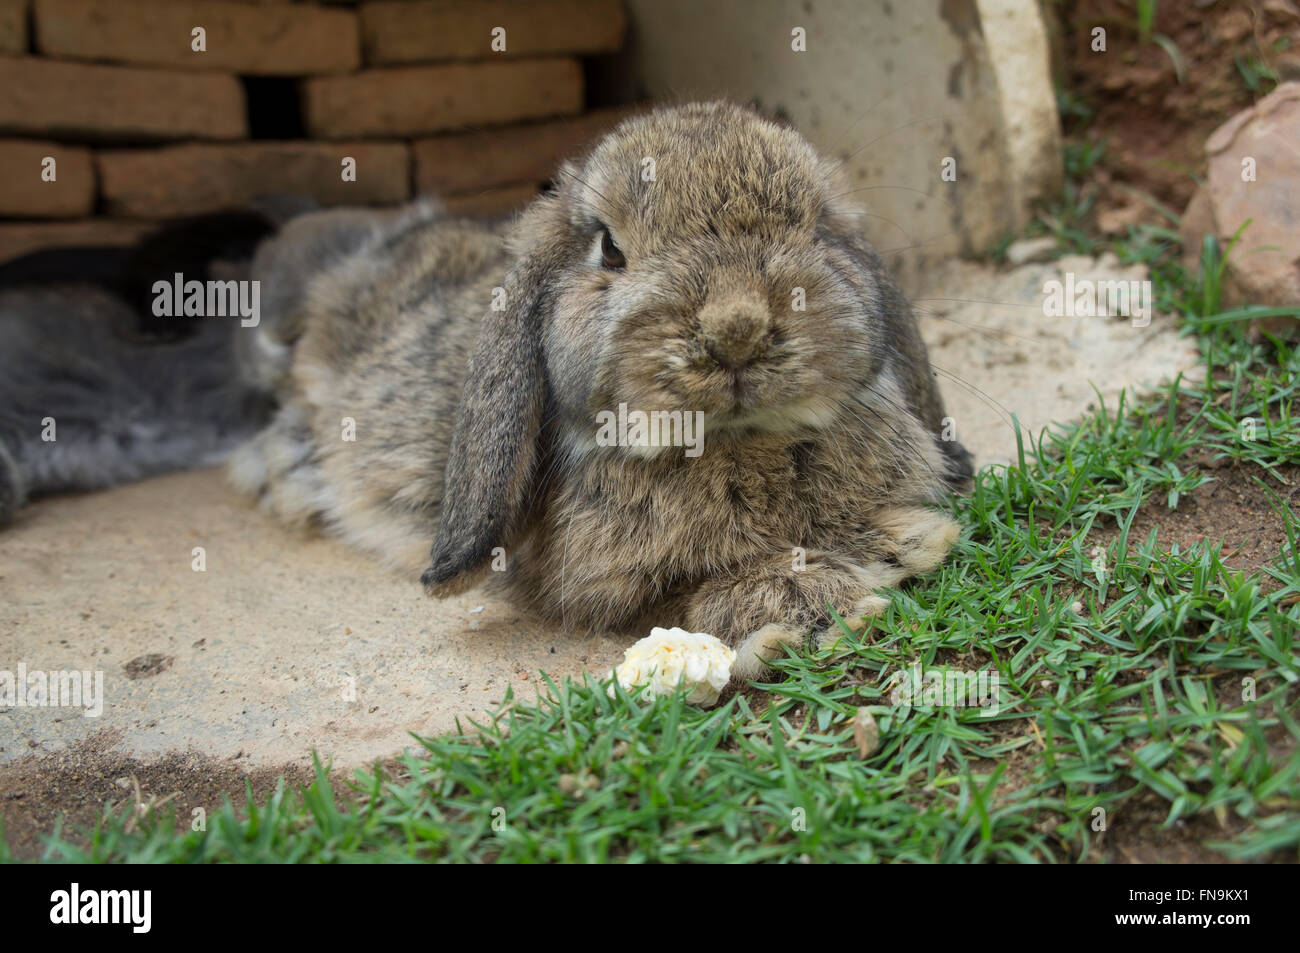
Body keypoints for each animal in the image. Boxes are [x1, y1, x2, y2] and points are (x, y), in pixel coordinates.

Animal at [230, 100, 973, 680]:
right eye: (610, 251)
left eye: (816, 229)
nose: (736, 330)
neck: (737, 443)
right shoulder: (583, 584)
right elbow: (675, 599)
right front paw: (803, 604)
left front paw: (898, 540)